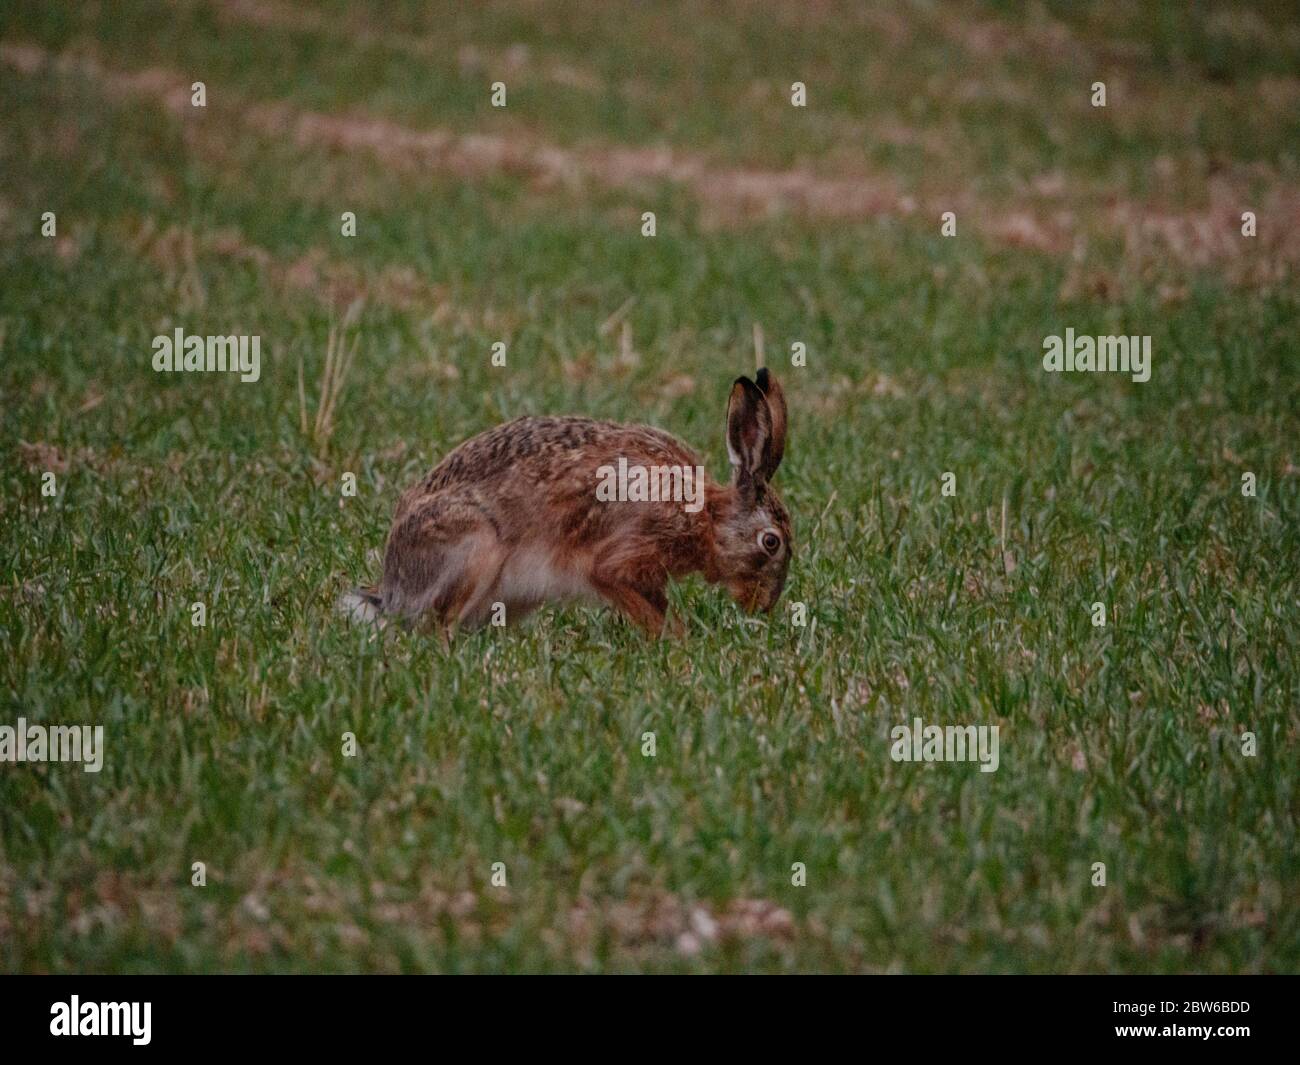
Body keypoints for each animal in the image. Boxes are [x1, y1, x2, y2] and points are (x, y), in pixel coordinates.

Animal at [341, 368, 790, 636]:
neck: (706, 517)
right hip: (474, 548)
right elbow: (641, 603)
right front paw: (676, 642)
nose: (764, 606)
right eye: (771, 542)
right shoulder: (616, 562)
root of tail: (393, 591)